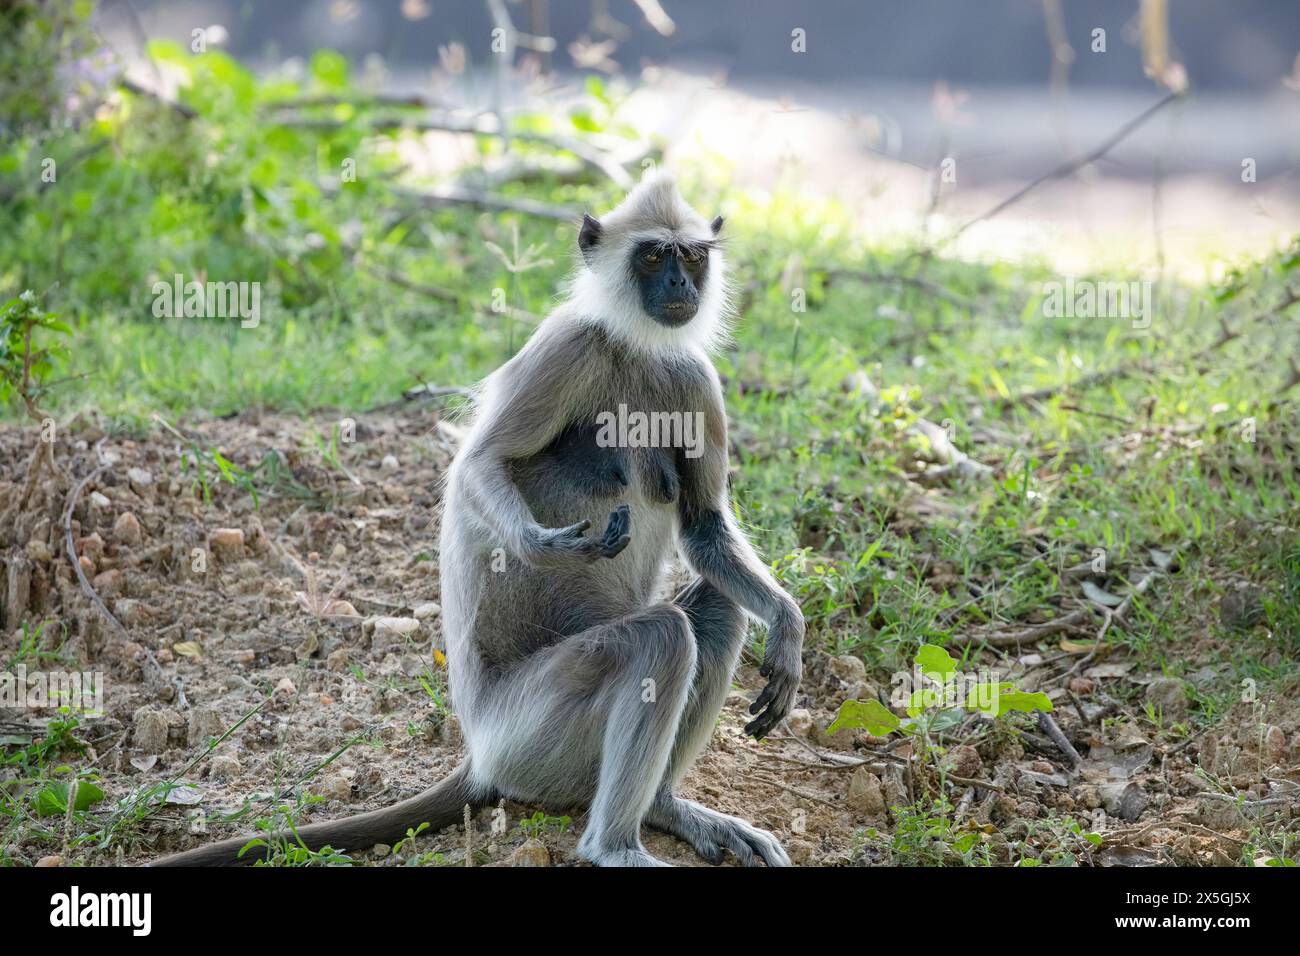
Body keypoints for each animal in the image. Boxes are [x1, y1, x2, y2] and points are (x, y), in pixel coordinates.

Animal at [152, 172, 805, 867]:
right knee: (659, 636)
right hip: (526, 734)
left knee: (718, 605)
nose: (682, 284)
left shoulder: (696, 379)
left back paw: (662, 807)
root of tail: (479, 759)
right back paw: (613, 846)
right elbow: (478, 466)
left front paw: (788, 627)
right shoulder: (568, 345)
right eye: (654, 256)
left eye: (693, 256)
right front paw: (539, 544)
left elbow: (704, 525)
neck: (637, 349)